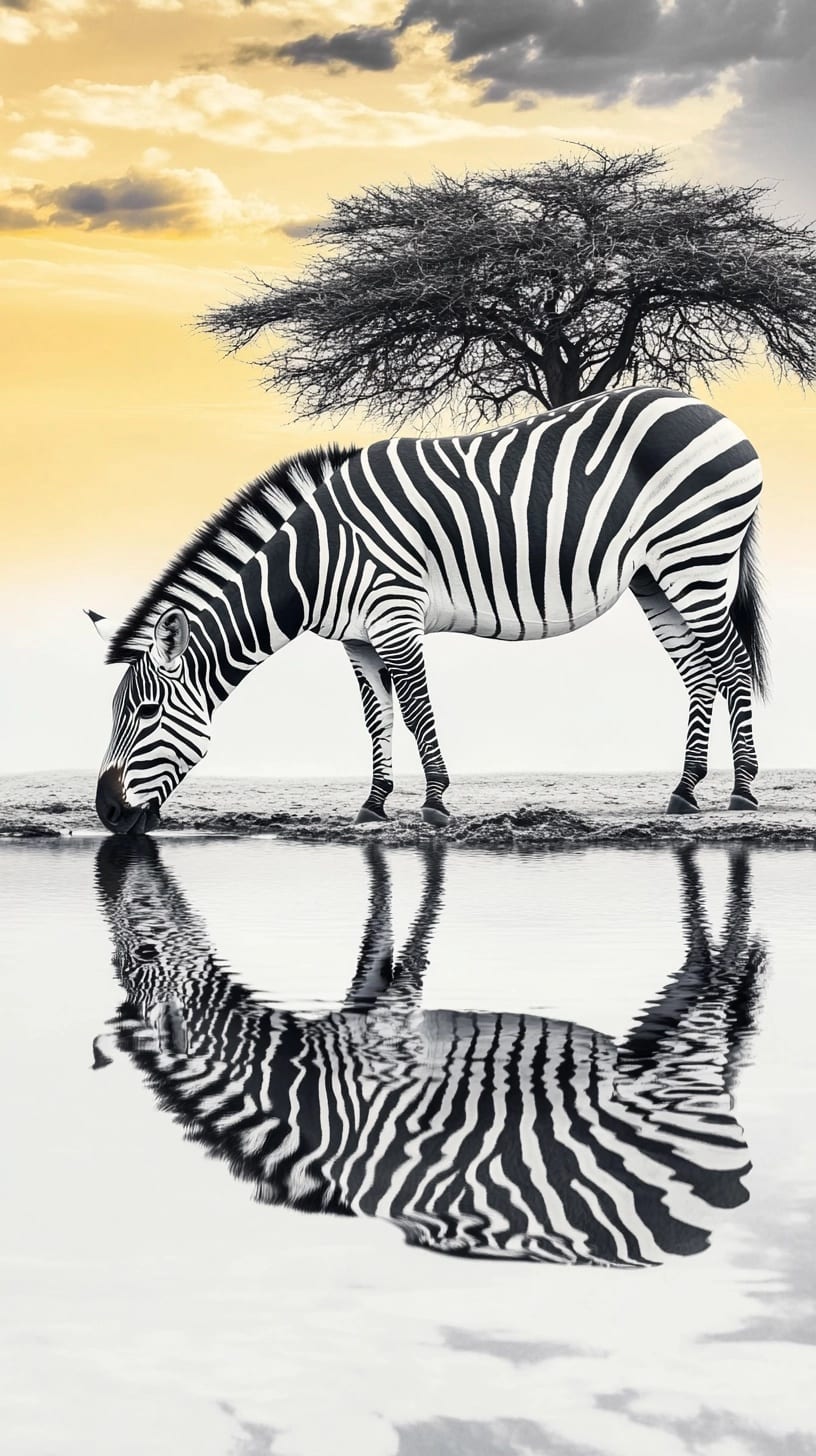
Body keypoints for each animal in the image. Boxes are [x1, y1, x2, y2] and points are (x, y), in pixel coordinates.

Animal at [88, 386, 768, 832]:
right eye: (117, 713)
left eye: (145, 714)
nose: (107, 813)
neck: (317, 559)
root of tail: (710, 410)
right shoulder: (358, 638)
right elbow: (378, 719)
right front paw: (374, 802)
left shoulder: (395, 612)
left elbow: (416, 710)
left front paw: (435, 801)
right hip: (655, 575)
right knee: (699, 670)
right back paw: (686, 789)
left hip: (697, 553)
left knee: (731, 663)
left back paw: (741, 789)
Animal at [94, 838, 765, 1265]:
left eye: (145, 954)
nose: (123, 840)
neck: (319, 1092)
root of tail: (704, 1228)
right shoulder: (365, 1007)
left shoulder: (389, 1035)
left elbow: (410, 942)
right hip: (656, 1036)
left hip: (679, 1060)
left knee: (723, 977)